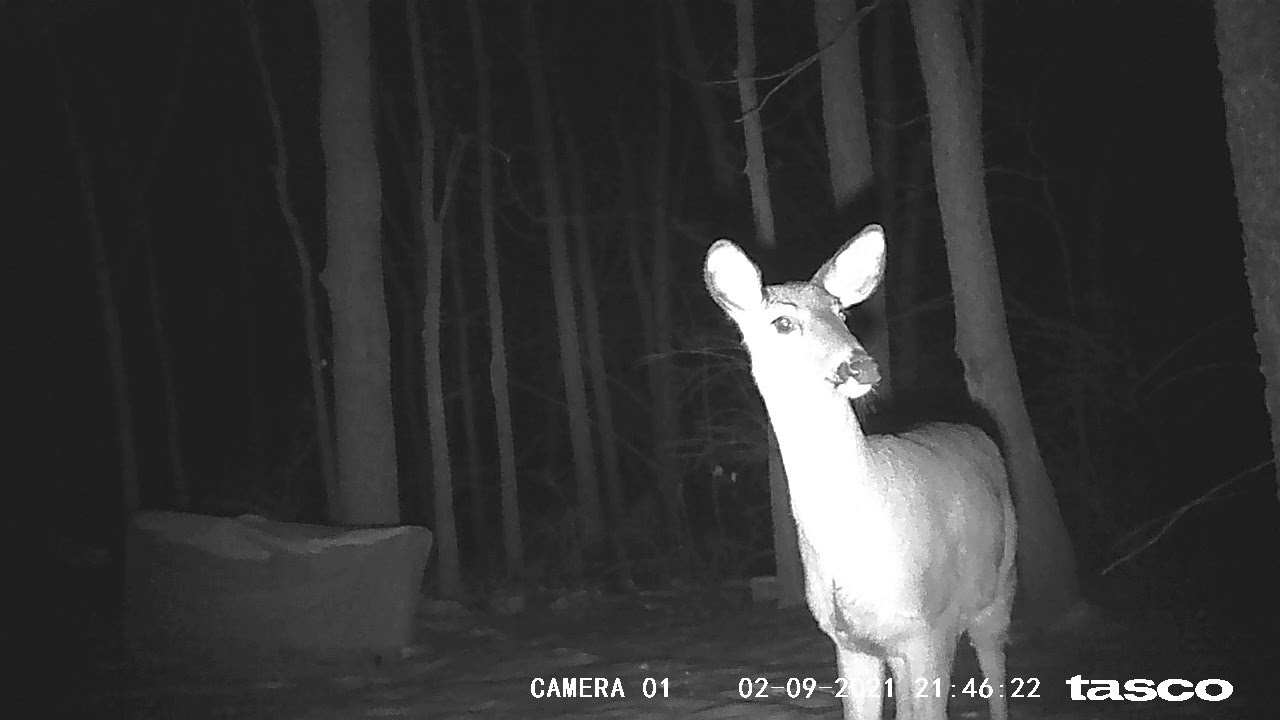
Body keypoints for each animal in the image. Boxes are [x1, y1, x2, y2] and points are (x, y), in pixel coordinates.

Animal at [703, 224, 1017, 720]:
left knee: (995, 669)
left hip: (999, 589)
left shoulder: (932, 624)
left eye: (841, 312)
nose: (860, 365)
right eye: (783, 323)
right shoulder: (849, 640)